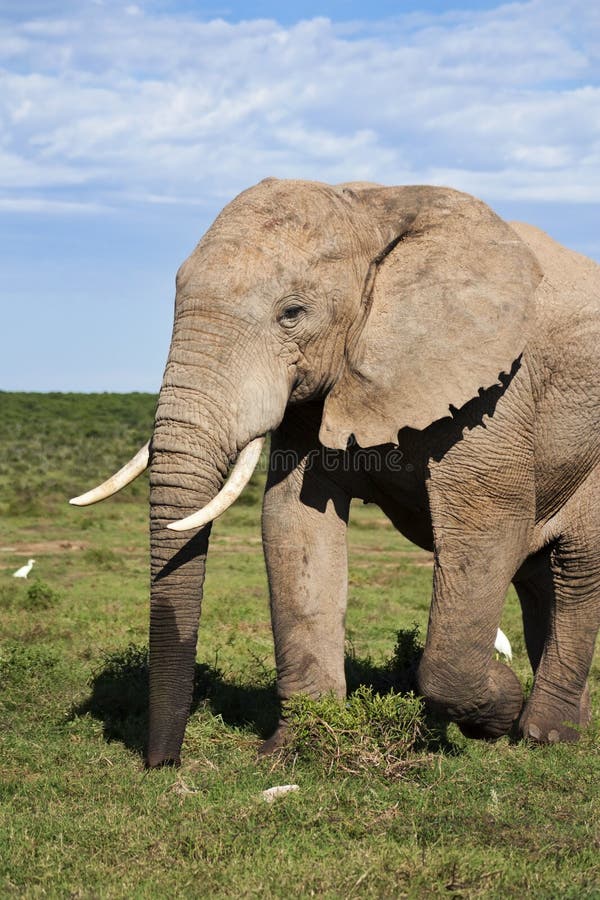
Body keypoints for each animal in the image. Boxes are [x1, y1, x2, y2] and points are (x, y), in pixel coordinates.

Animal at [71, 178, 600, 767]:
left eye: (292, 313)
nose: (164, 764)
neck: (369, 210)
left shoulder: (495, 387)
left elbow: (487, 527)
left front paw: (496, 711)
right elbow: (294, 523)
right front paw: (296, 749)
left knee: (577, 571)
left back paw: (545, 734)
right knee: (539, 578)